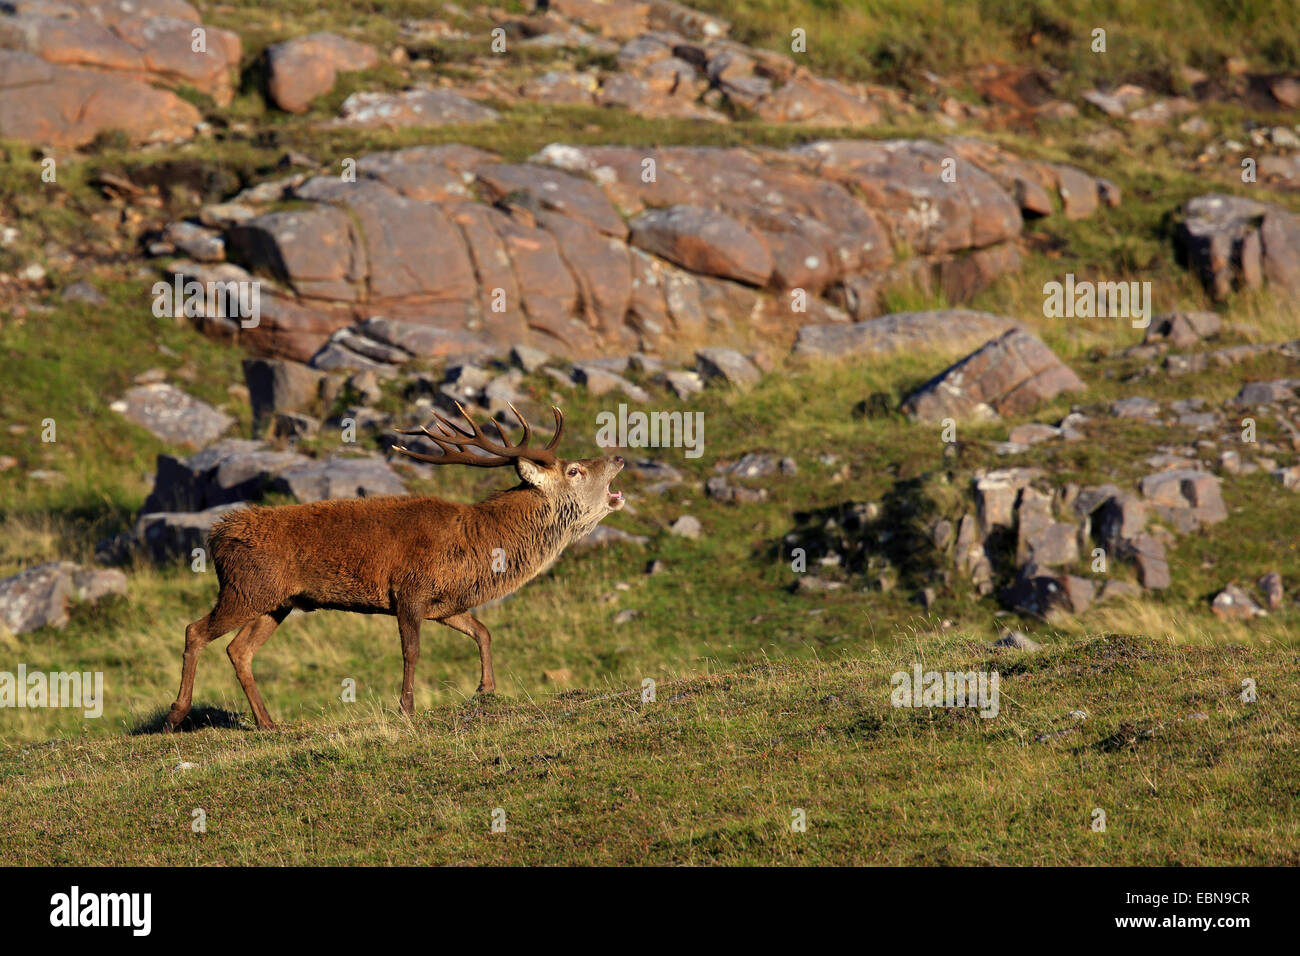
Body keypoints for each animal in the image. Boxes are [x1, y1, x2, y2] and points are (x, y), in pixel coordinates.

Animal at [162, 402, 625, 732]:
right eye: (574, 469)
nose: (618, 458)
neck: (478, 549)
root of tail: (217, 534)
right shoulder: (409, 589)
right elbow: (412, 650)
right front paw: (406, 708)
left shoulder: (444, 604)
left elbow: (483, 631)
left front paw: (485, 689)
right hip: (245, 588)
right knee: (195, 630)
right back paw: (176, 714)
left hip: (277, 602)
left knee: (238, 650)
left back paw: (267, 722)